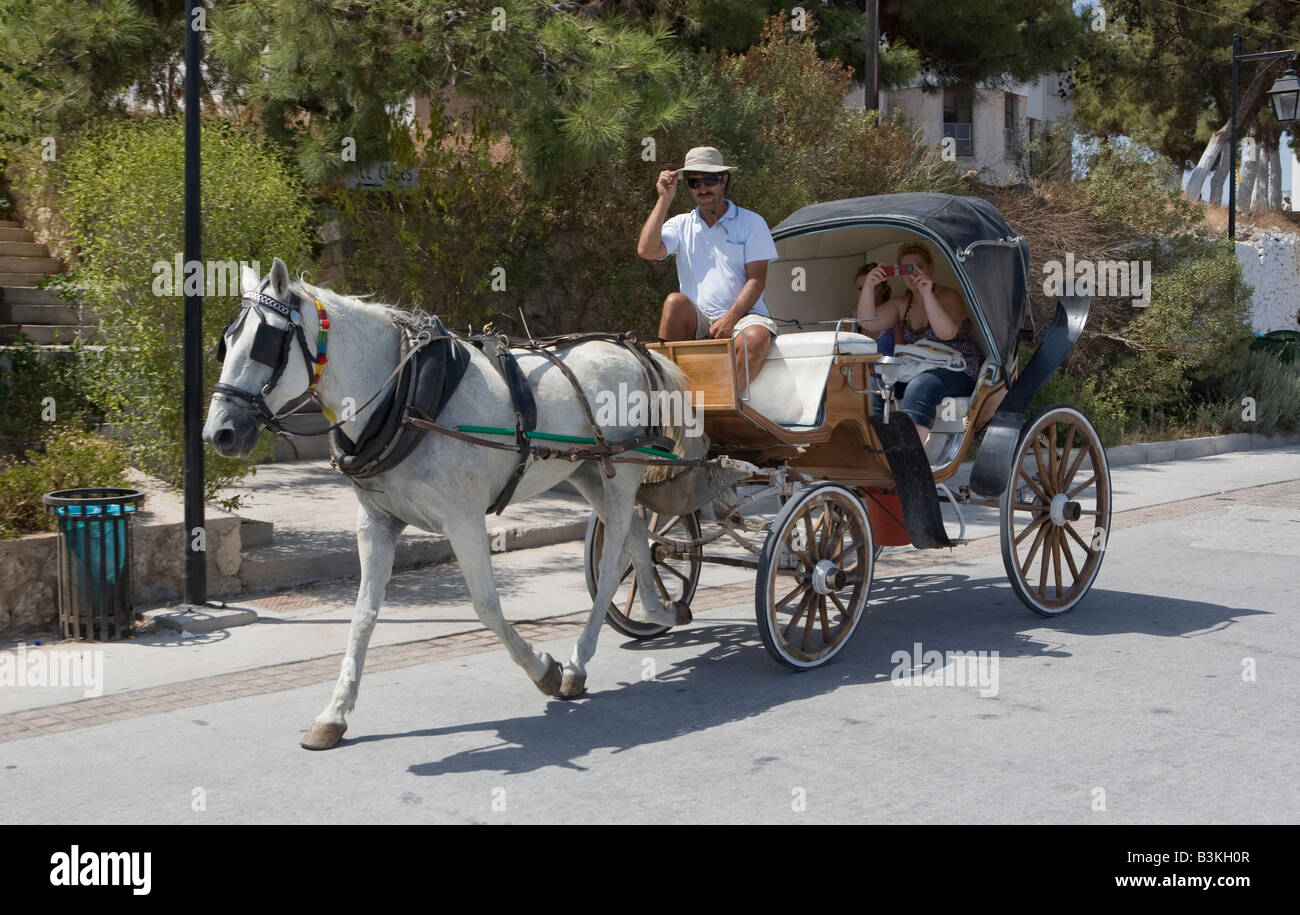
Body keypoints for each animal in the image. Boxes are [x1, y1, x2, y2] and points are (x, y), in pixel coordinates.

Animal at [203, 258, 700, 750]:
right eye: (225, 343)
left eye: (266, 344)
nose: (219, 433)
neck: (406, 398)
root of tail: (637, 351)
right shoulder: (376, 522)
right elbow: (363, 614)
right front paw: (334, 714)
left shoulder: (464, 520)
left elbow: (486, 605)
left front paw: (544, 669)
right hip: (590, 473)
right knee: (635, 531)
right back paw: (659, 608)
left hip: (622, 469)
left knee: (614, 552)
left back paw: (579, 663)